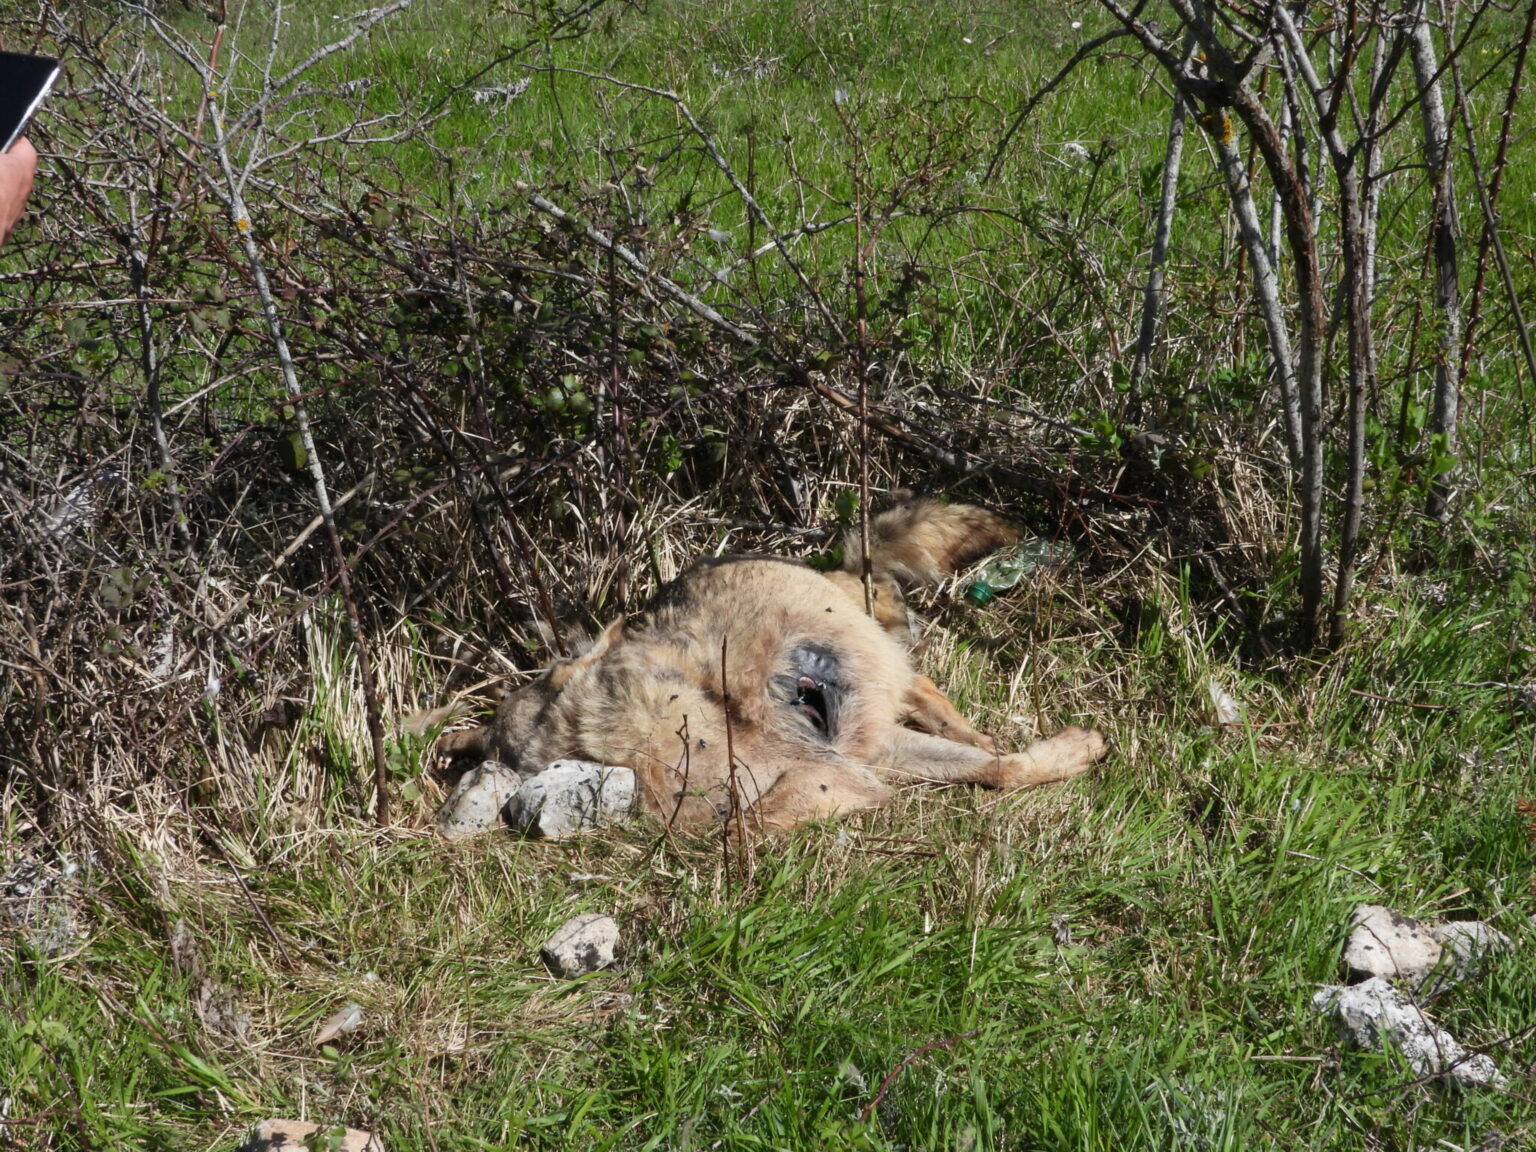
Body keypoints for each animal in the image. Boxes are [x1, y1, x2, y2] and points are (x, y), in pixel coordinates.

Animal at [438, 500, 1106, 833]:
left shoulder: (828, 763)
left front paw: (1078, 749)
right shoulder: (857, 761)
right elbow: (1002, 771)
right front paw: (1073, 751)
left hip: (857, 632)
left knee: (903, 645)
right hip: (872, 709)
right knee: (919, 684)